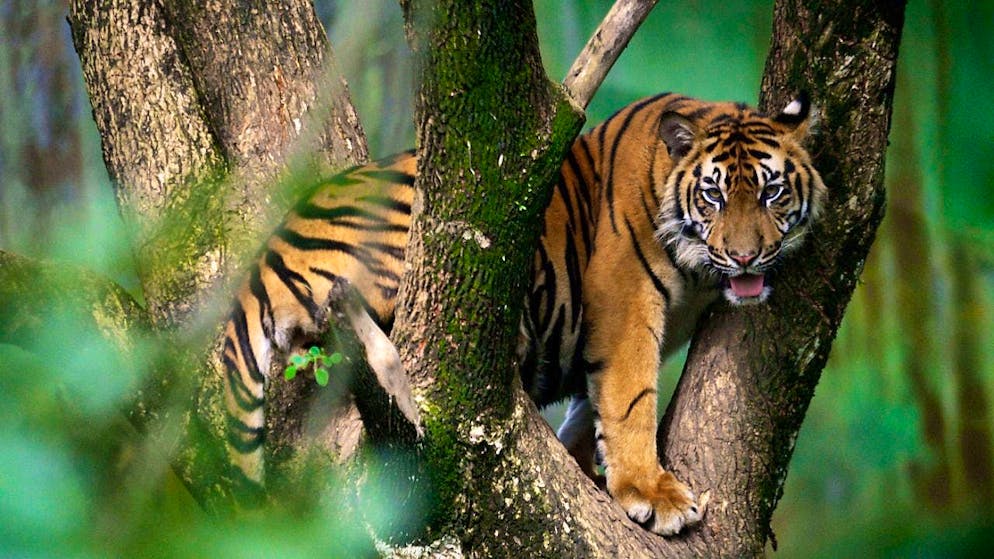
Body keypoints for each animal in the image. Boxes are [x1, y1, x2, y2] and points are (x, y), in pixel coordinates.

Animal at [221, 92, 825, 535]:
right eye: (713, 196)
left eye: (771, 193)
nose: (745, 256)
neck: (702, 274)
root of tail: (263, 260)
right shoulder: (623, 302)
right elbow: (629, 399)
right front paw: (652, 494)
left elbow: (591, 409)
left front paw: (595, 474)